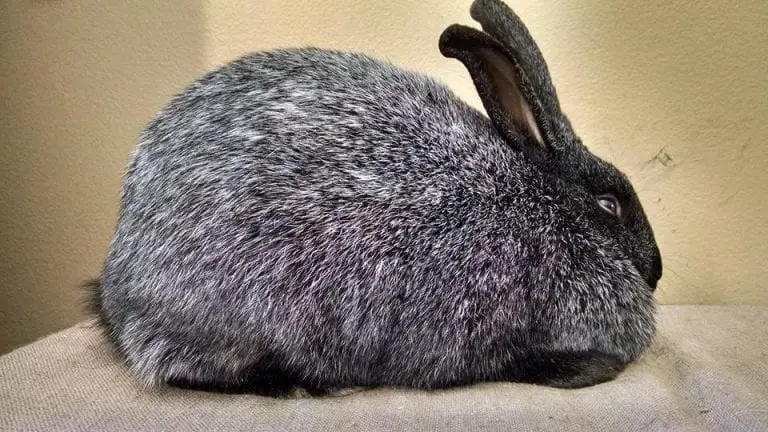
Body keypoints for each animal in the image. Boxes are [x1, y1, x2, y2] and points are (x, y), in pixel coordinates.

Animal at [89, 0, 662, 397]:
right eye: (609, 204)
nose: (656, 270)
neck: (544, 203)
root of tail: (119, 285)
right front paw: (590, 368)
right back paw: (303, 384)